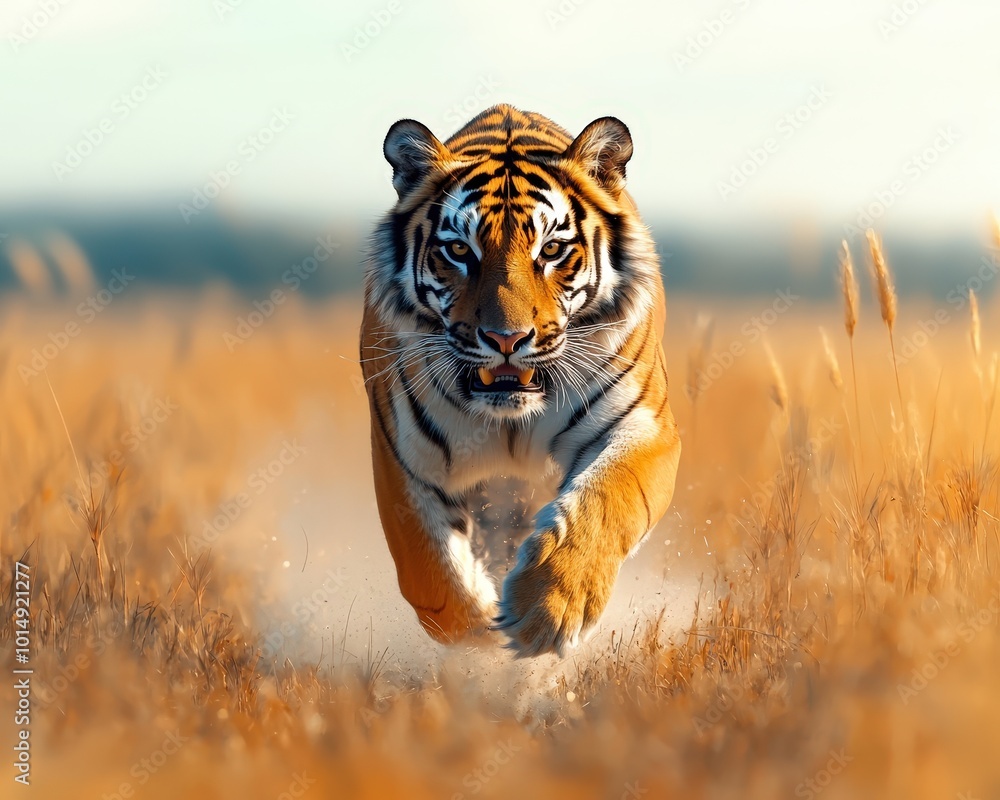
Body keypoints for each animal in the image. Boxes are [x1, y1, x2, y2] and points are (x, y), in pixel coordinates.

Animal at [360, 104, 681, 657]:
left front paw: (545, 612)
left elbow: (606, 499)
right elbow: (431, 575)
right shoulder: (404, 457)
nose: (506, 338)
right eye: (458, 250)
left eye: (551, 250)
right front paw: (482, 637)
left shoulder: (643, 426)